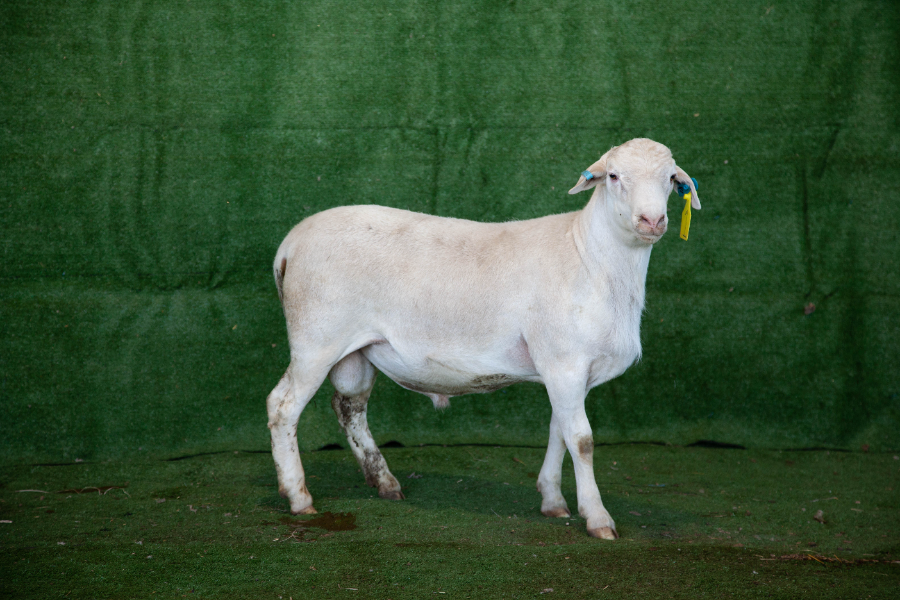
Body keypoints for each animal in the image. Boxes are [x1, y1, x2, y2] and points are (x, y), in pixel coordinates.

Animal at [266, 138, 700, 539]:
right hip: (316, 339)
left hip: (357, 351)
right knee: (283, 407)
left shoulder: (563, 369)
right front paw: (598, 519)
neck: (588, 257)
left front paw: (553, 502)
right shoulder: (564, 362)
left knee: (350, 408)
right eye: (613, 176)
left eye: (670, 179)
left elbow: (558, 431)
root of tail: (289, 245)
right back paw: (299, 496)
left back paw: (384, 482)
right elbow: (581, 440)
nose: (652, 220)